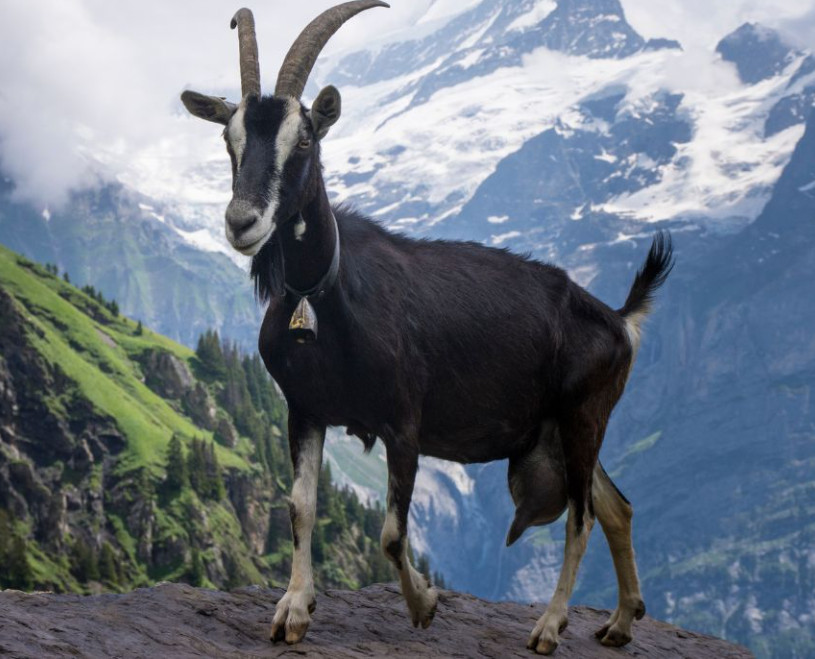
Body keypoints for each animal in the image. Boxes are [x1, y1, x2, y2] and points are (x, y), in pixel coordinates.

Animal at [181, 2, 673, 654]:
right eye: (228, 137)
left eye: (305, 136)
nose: (242, 222)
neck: (327, 294)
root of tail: (618, 319)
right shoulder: (304, 409)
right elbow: (301, 507)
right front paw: (293, 609)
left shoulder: (404, 421)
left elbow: (391, 534)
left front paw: (425, 604)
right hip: (561, 426)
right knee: (616, 506)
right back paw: (618, 623)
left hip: (584, 415)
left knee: (582, 515)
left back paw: (549, 626)